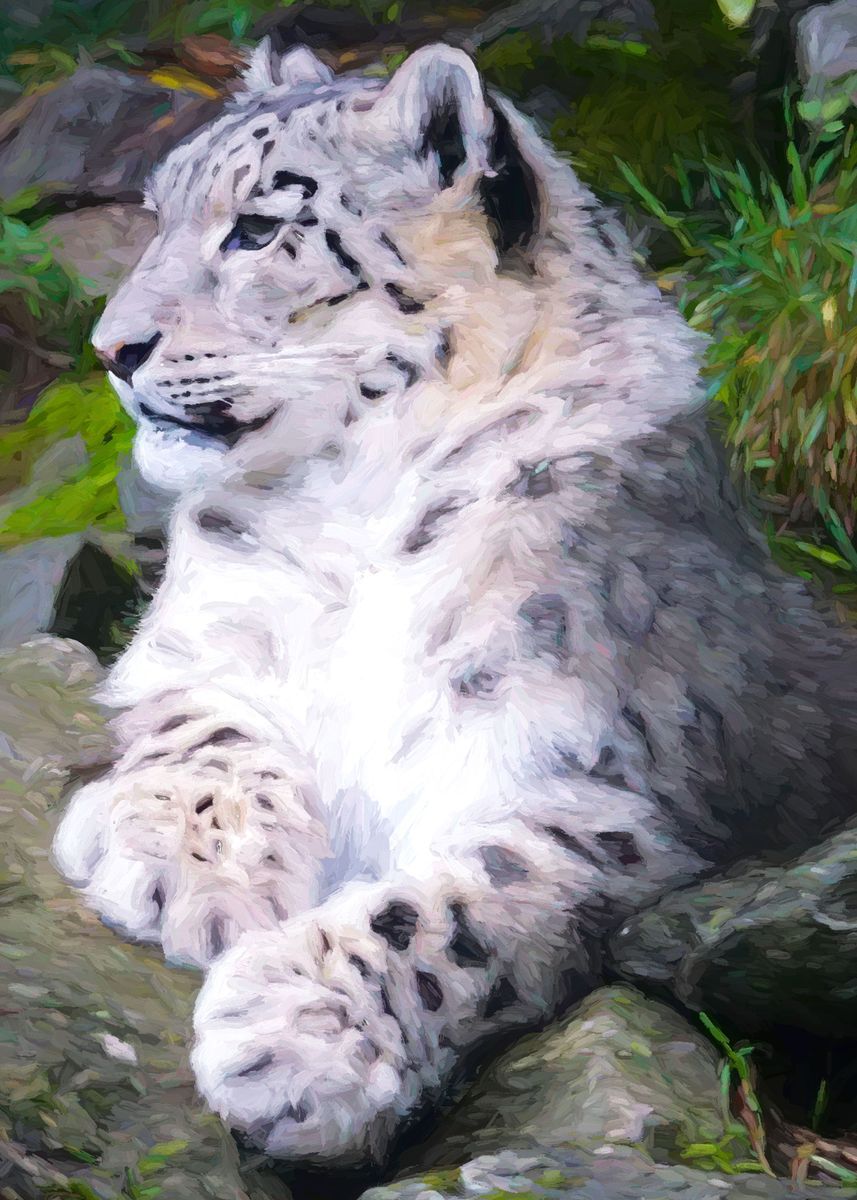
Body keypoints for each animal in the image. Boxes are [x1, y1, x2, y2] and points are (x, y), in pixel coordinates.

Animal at [53, 38, 857, 1168]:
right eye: (157, 213)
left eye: (256, 226)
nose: (110, 349)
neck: (354, 503)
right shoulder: (197, 644)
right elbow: (203, 727)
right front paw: (190, 866)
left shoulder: (593, 784)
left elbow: (461, 907)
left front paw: (295, 1034)